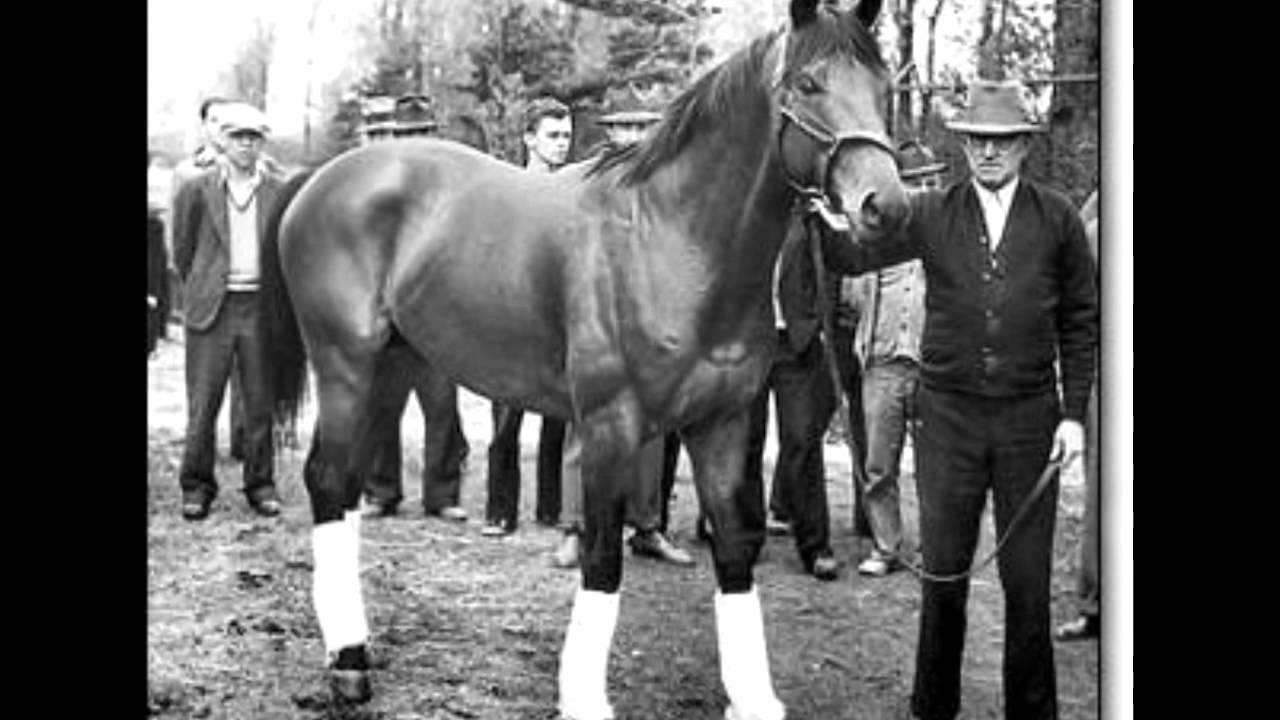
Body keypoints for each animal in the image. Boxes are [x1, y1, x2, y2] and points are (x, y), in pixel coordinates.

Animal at [257, 1, 908, 717]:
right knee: (326, 480)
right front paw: (584, 696)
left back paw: (352, 647)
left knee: (344, 485)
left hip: (389, 368)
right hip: (344, 364)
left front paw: (752, 696)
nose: (886, 205)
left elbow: (736, 546)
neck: (672, 239)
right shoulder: (609, 426)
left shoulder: (723, 423)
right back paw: (347, 663)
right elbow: (601, 555)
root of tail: (324, 175)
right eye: (809, 84)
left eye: (884, 89)